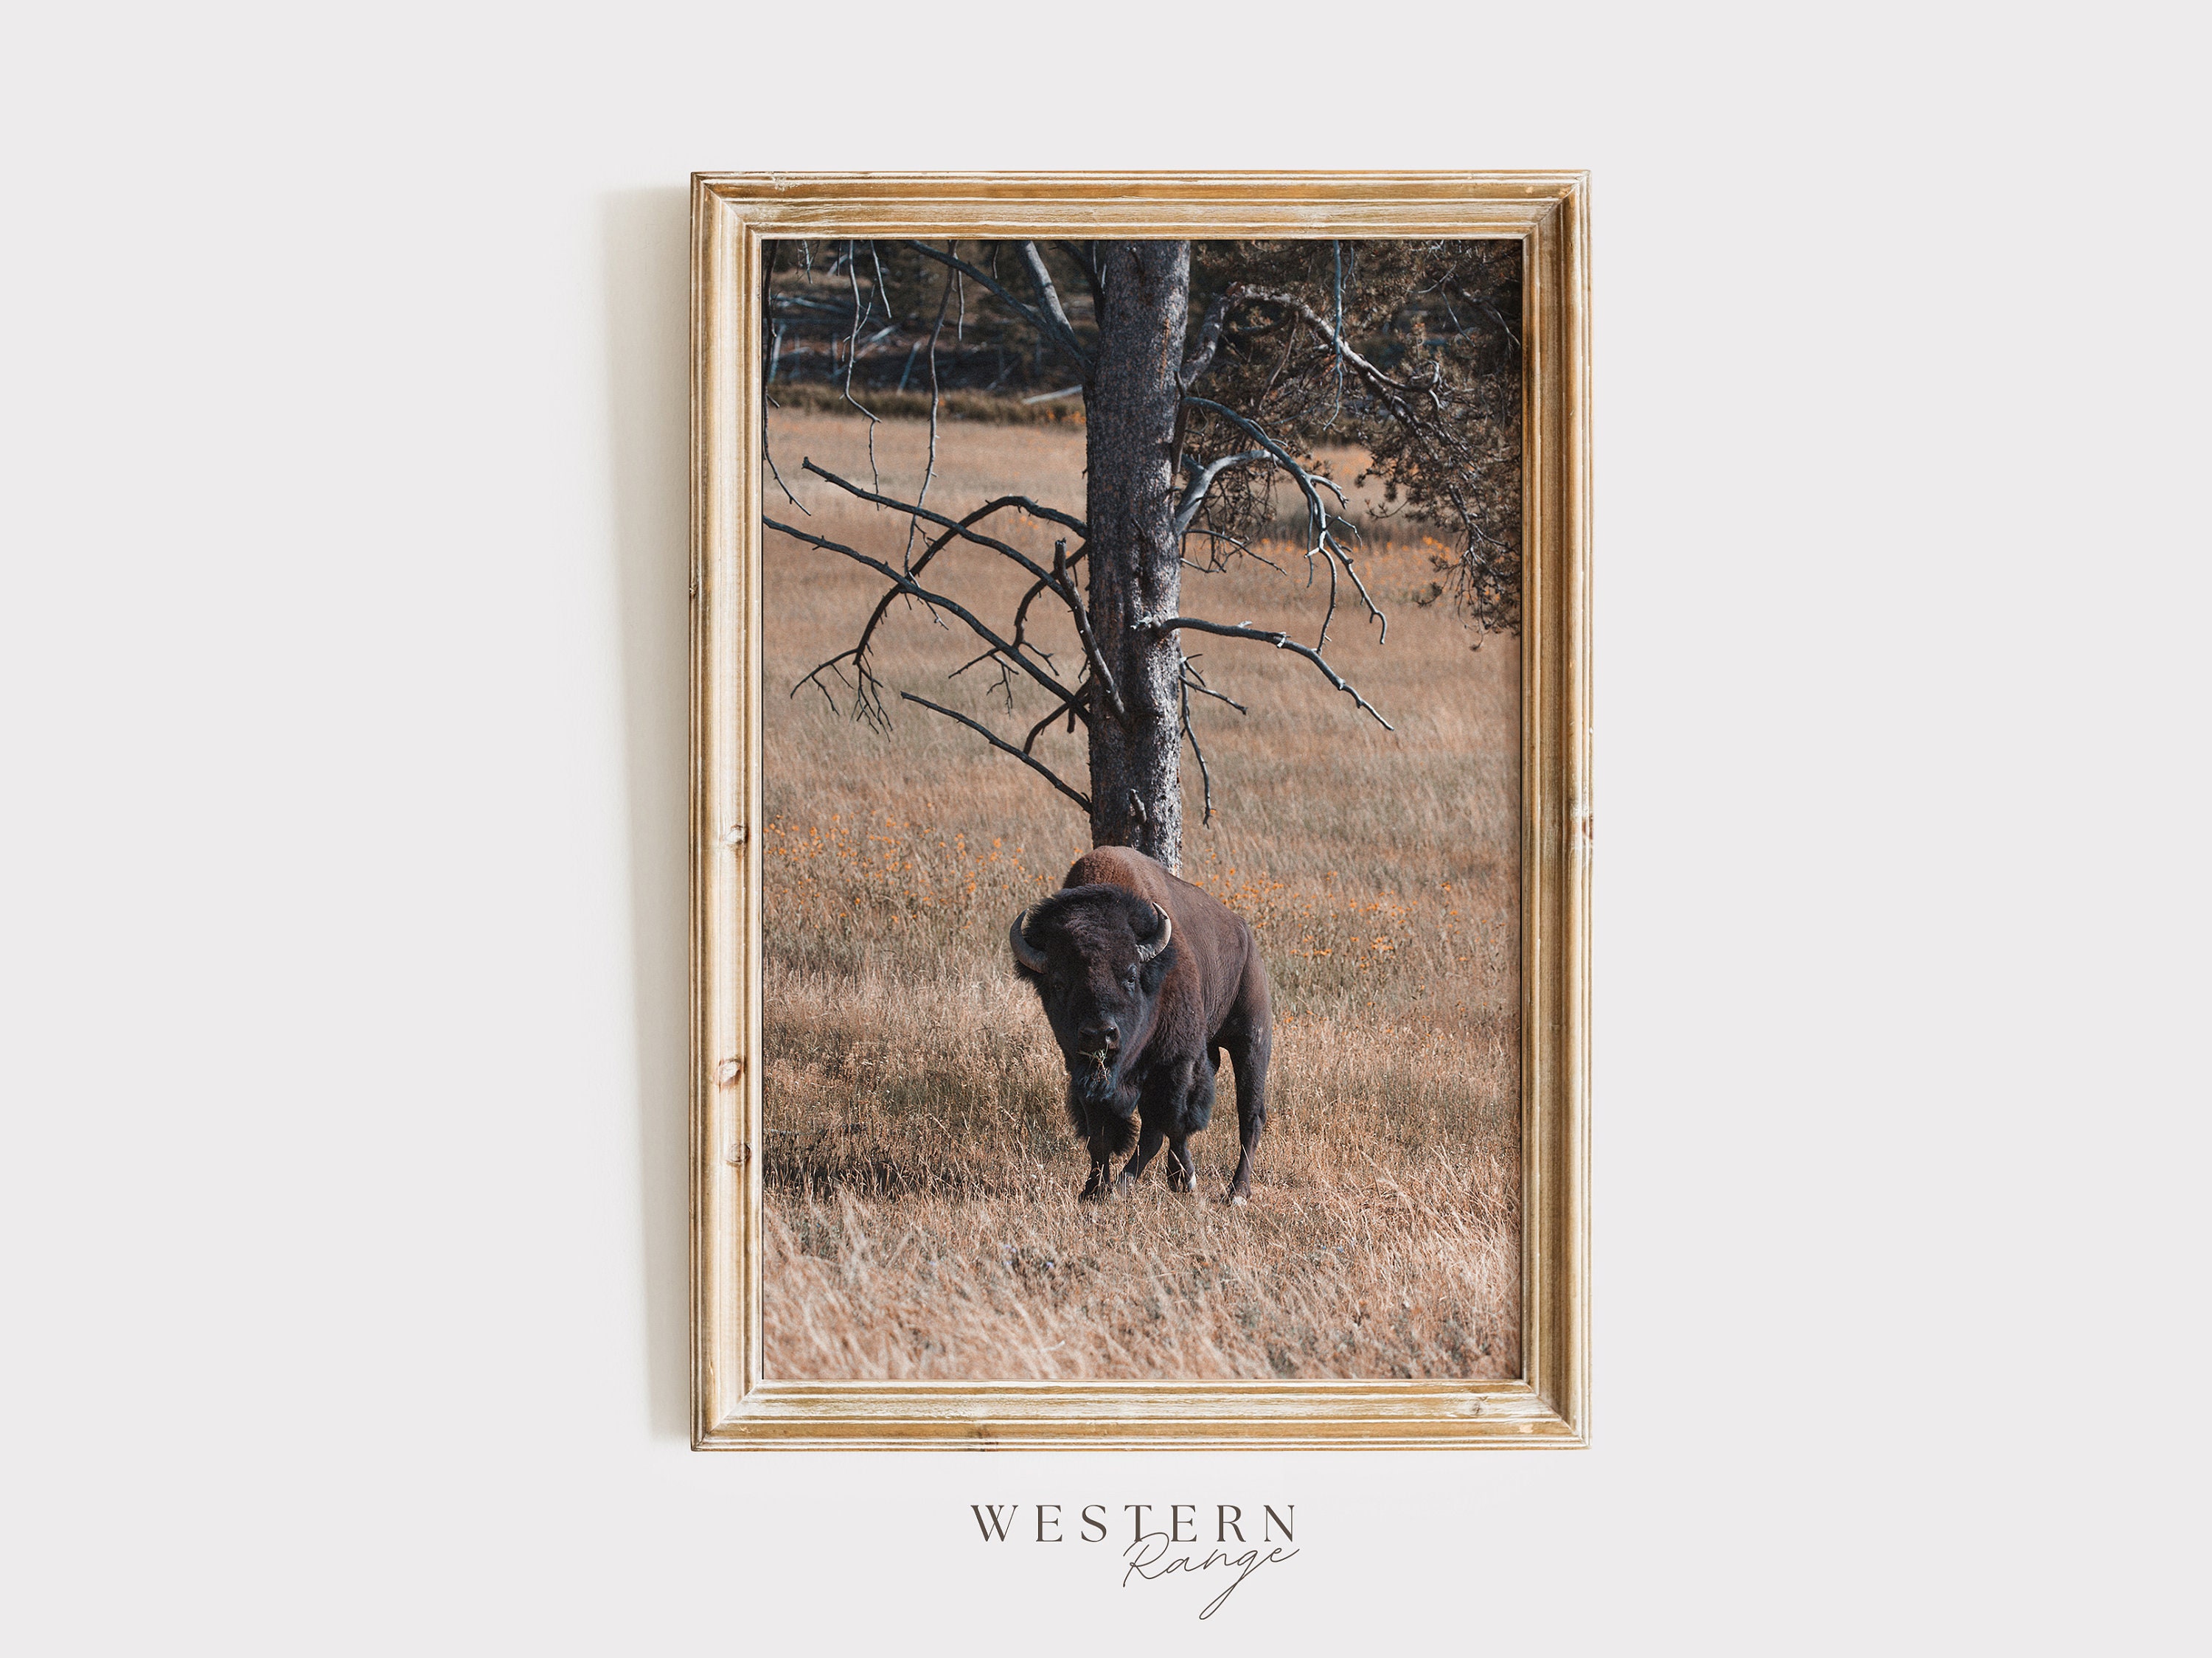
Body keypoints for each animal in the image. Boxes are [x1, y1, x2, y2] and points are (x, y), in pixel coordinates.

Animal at [1008, 845, 1273, 1205]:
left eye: (1131, 976)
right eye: (1059, 983)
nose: (1100, 1035)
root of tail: (1243, 931)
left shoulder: (1174, 1064)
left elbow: (1162, 1128)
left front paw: (1142, 1184)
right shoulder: (1084, 1074)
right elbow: (1101, 1136)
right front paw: (1093, 1190)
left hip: (1251, 1041)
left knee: (1249, 1116)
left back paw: (1237, 1192)